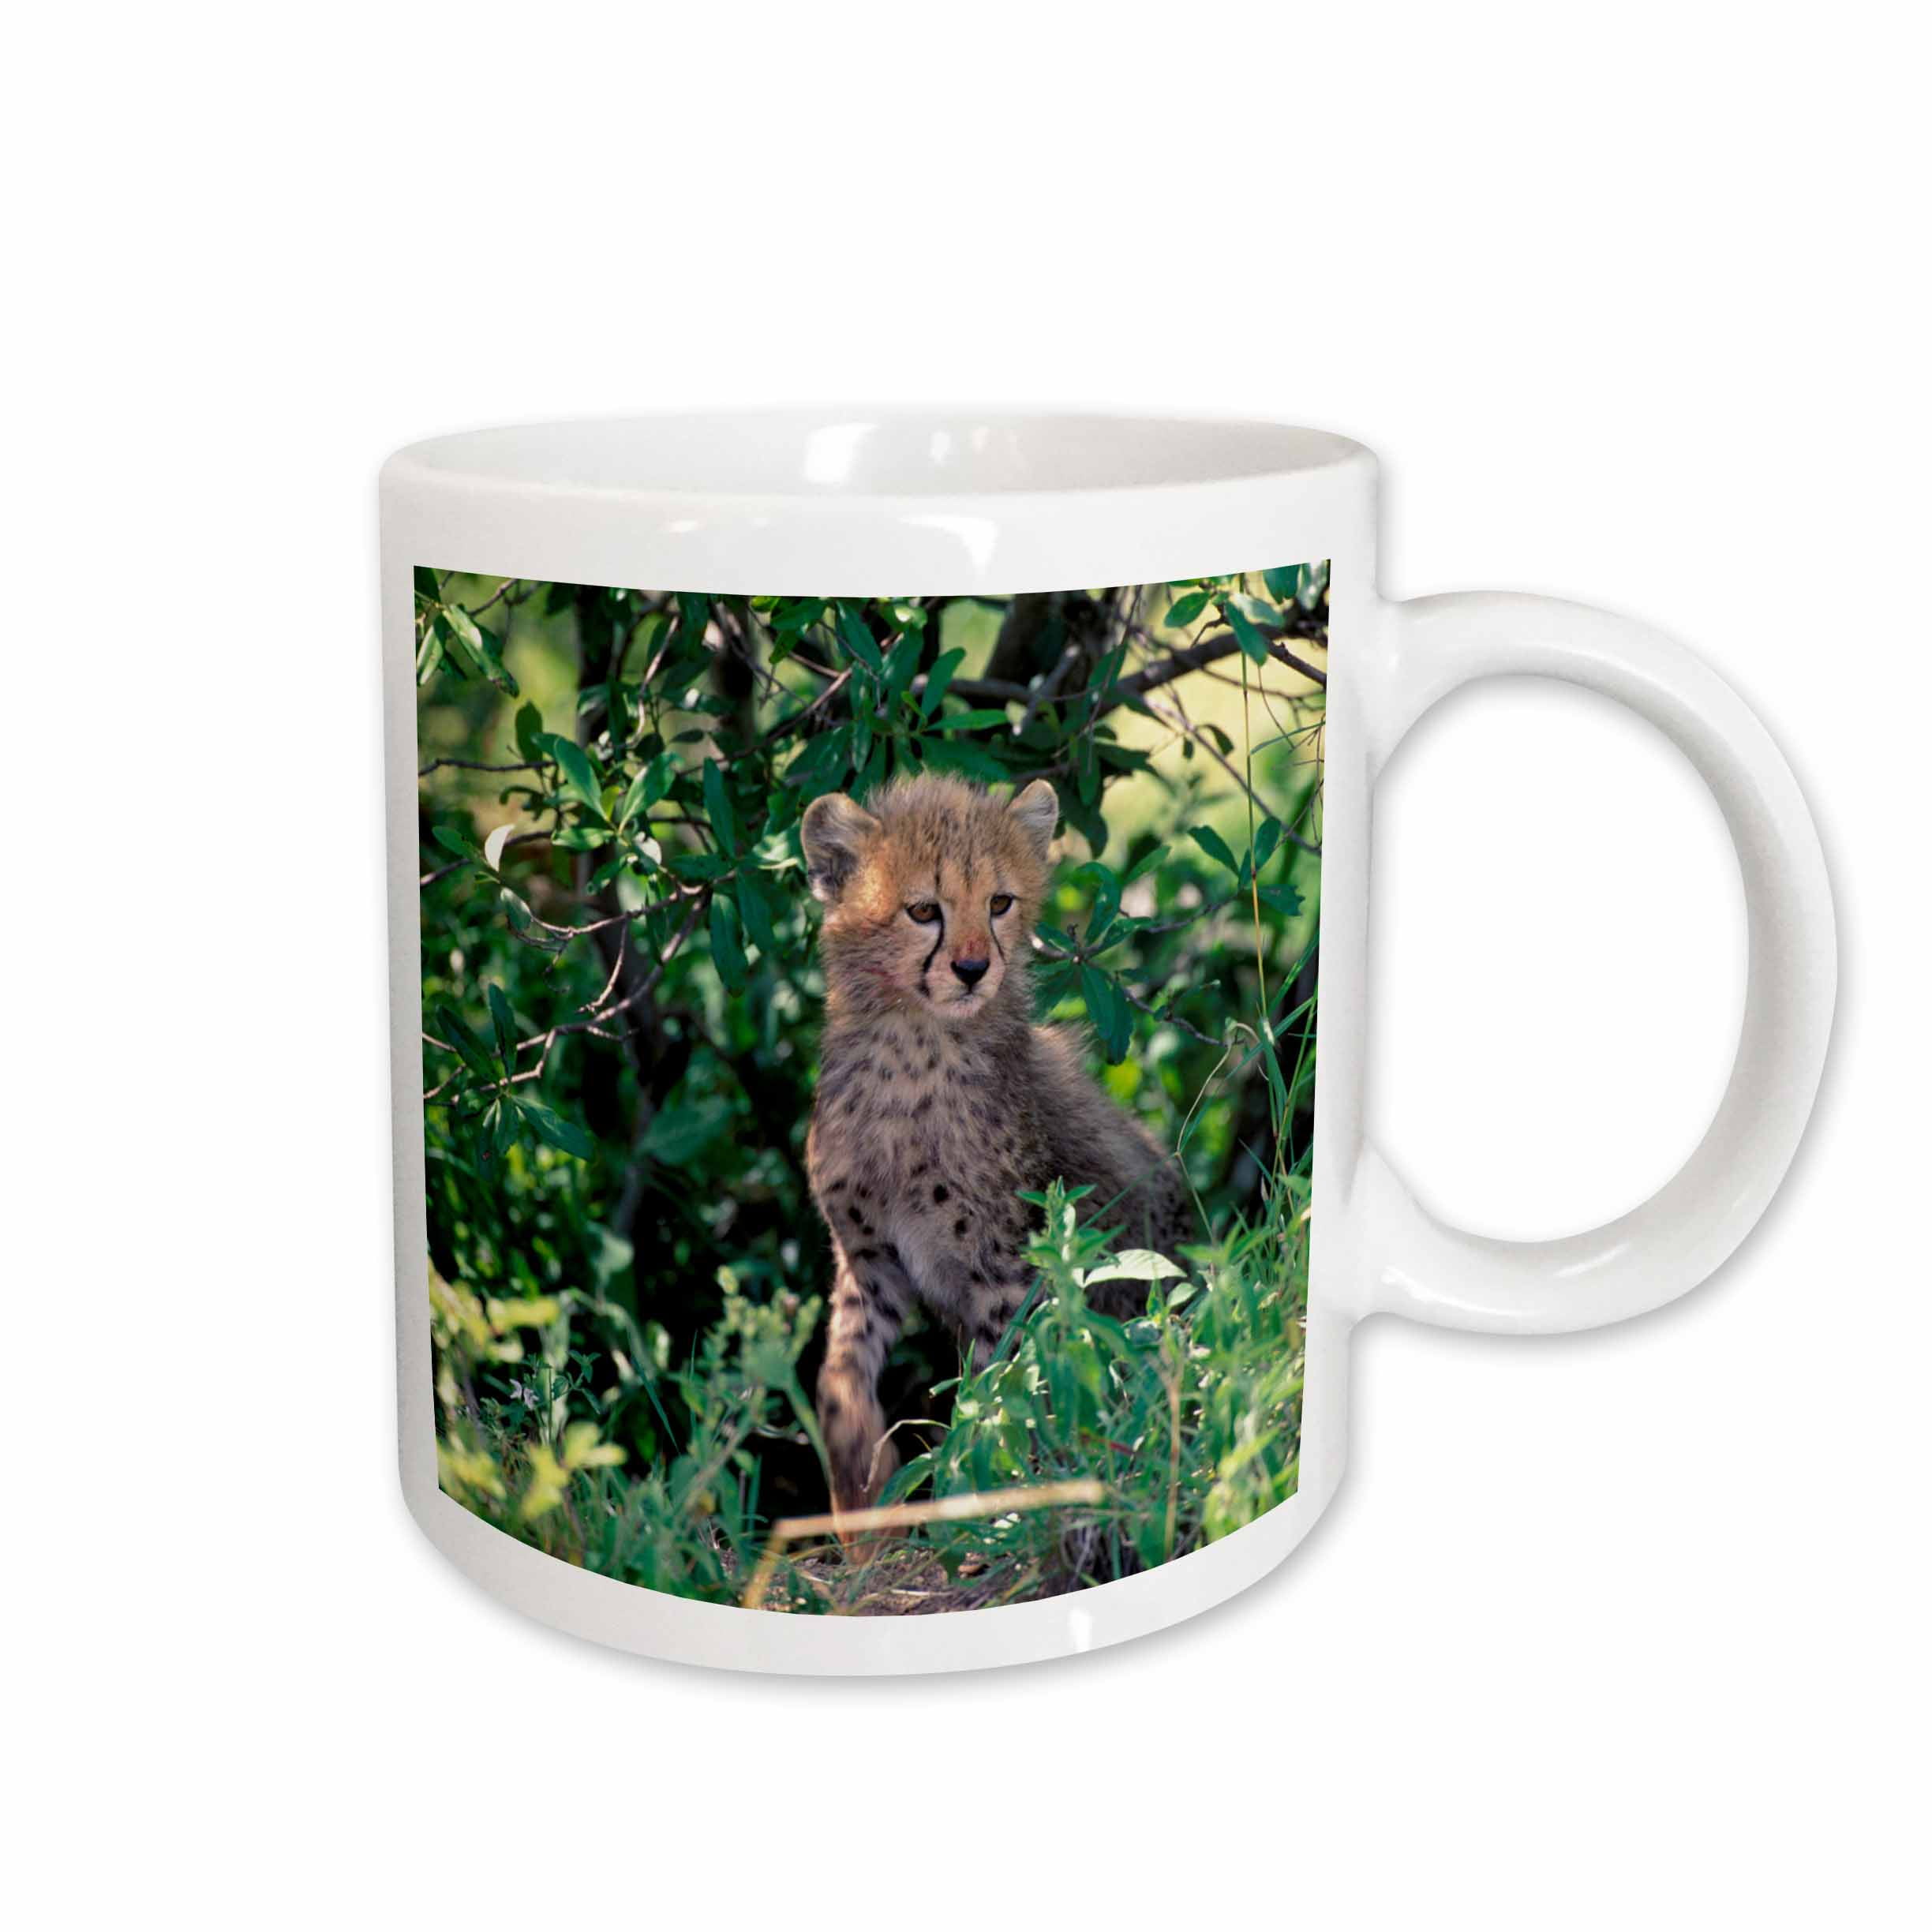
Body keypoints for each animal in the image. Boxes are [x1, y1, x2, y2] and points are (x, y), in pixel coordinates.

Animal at [800, 772, 1193, 1534]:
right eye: (924, 910)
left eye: (1000, 903)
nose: (974, 968)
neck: (911, 1050)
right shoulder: (871, 1260)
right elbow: (838, 1375)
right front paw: (859, 1485)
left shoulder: (1003, 1271)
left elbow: (994, 1395)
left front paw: (985, 1505)